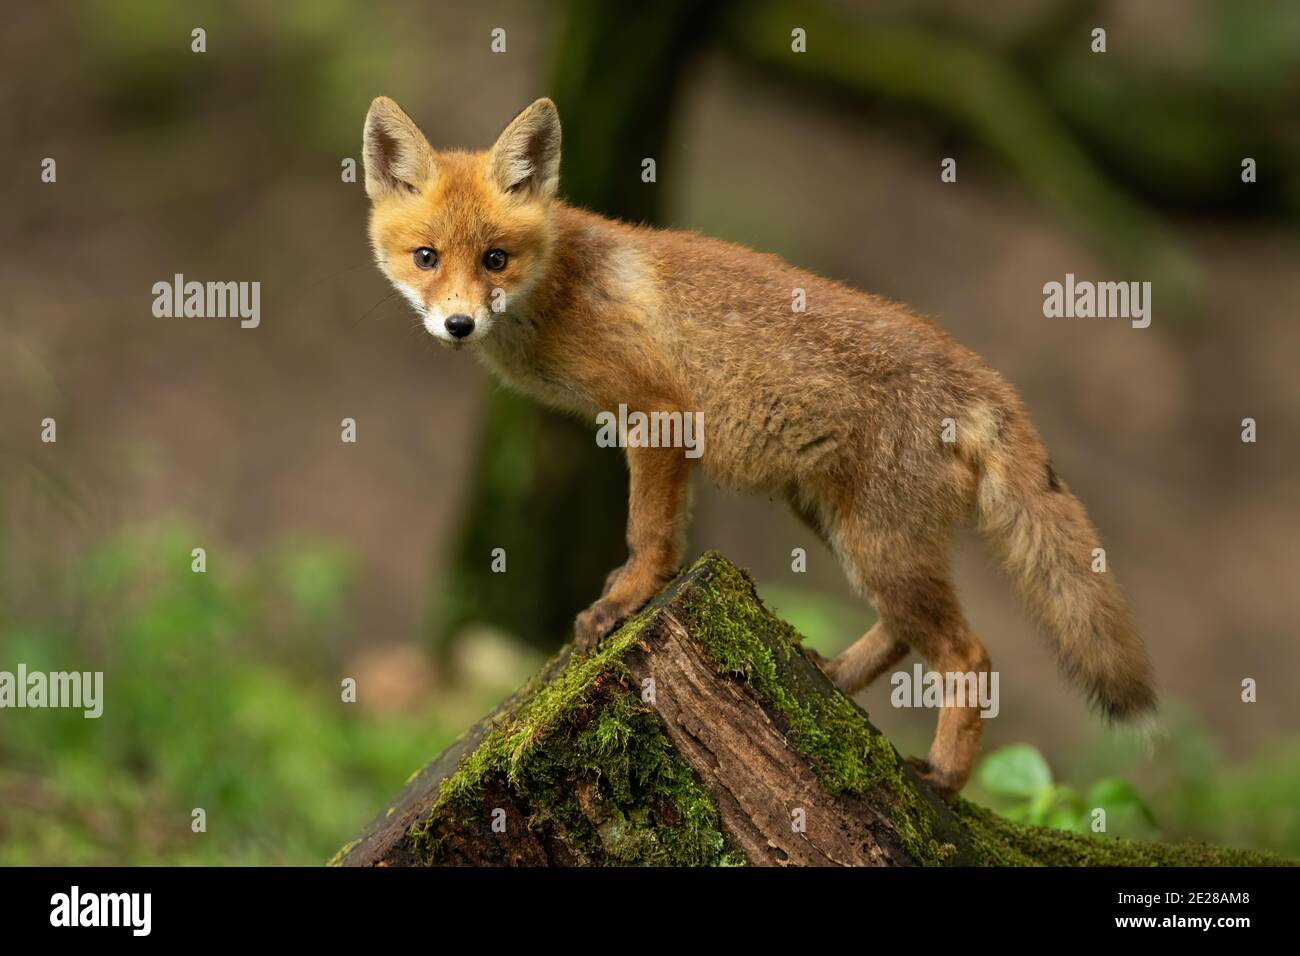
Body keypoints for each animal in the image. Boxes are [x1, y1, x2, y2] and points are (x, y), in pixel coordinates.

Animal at [361, 96, 1157, 796]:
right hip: (844, 528)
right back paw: (835, 680)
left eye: (495, 258)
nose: (459, 324)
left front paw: (626, 600)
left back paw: (944, 777)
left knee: (971, 654)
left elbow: (649, 534)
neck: (560, 287)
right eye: (427, 257)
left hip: (880, 543)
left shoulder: (659, 413)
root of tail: (981, 376)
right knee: (906, 633)